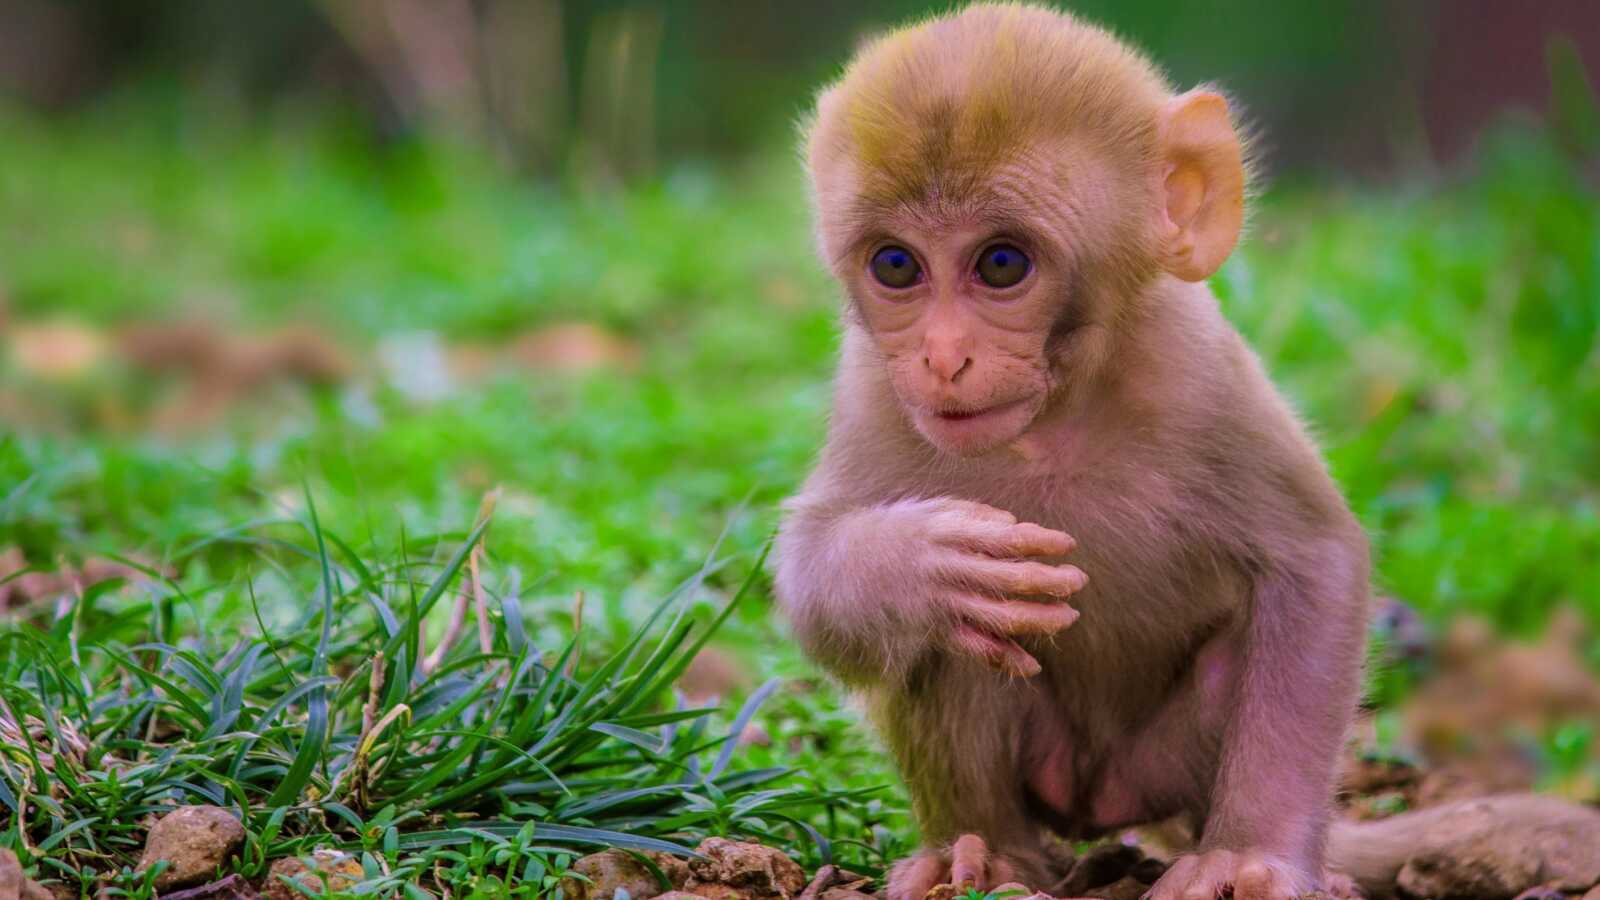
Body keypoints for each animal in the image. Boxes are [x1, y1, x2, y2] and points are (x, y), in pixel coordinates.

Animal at [771, 6, 1377, 899]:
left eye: (1001, 263)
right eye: (896, 264)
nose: (942, 358)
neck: (1056, 416)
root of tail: (1099, 801)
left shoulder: (1200, 370)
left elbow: (1315, 563)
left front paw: (1251, 853)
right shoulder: (874, 391)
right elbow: (814, 579)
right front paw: (920, 565)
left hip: (1158, 765)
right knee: (950, 643)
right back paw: (985, 853)